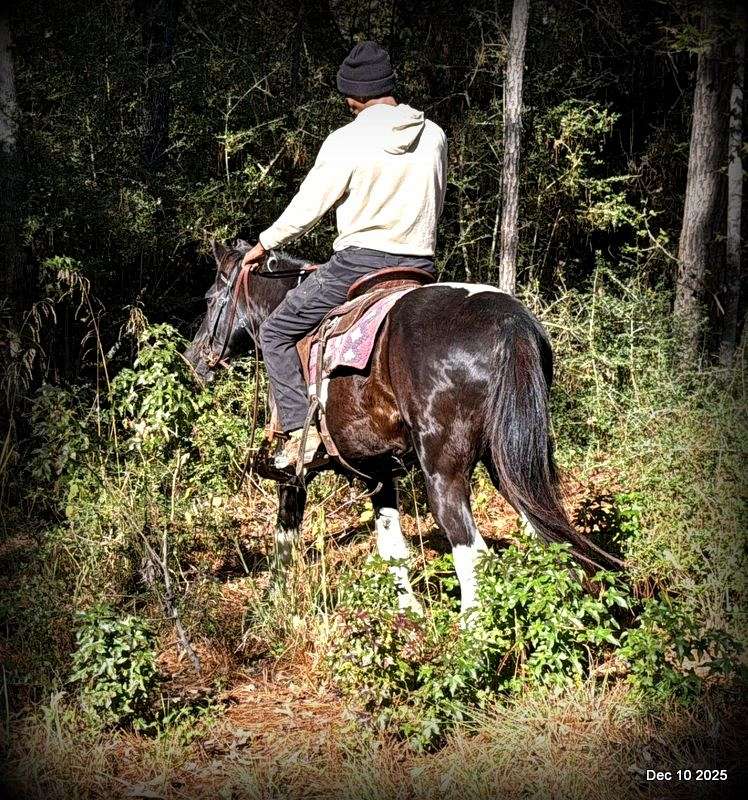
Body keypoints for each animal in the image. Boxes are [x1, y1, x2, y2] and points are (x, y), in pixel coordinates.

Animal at [185, 239, 623, 617]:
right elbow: (392, 545)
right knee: (548, 536)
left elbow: (284, 536)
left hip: (444, 474)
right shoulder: (376, 469)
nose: (194, 360)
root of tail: (508, 321)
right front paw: (408, 612)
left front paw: (275, 600)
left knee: (472, 550)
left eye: (208, 299)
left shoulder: (295, 472)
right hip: (510, 465)